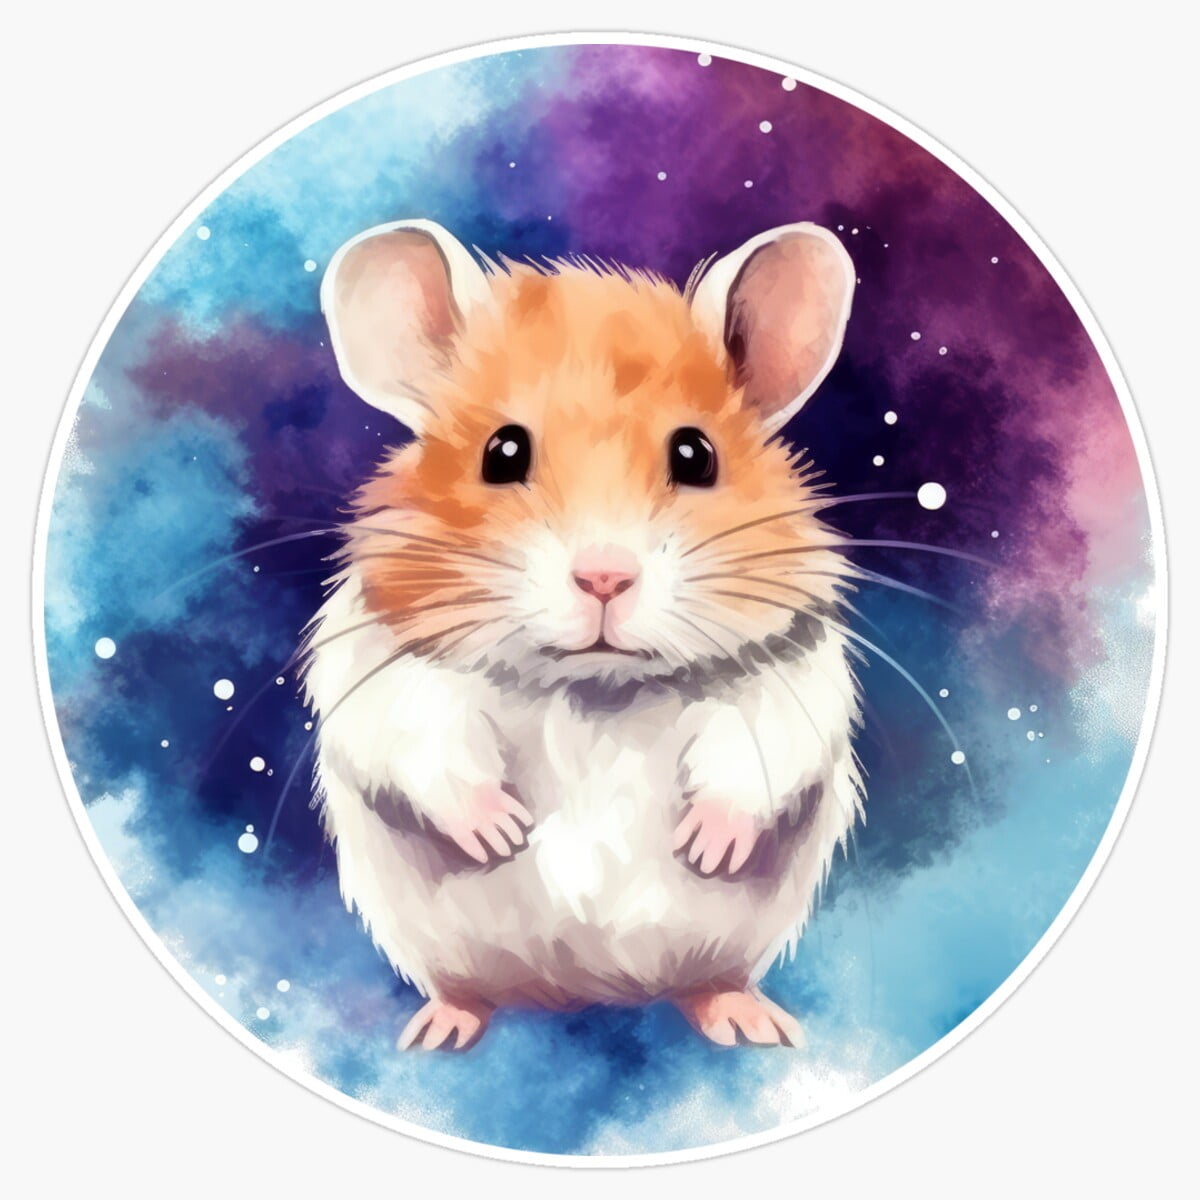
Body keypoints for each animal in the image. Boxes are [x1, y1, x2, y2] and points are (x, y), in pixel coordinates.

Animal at [302, 218, 864, 1051]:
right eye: (502, 452)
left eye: (696, 454)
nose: (604, 577)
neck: (595, 687)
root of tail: (586, 995)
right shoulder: (387, 667)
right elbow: (426, 745)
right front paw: (502, 834)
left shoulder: (788, 666)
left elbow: (753, 751)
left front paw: (705, 846)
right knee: (467, 988)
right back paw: (437, 1032)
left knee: (711, 981)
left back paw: (753, 1023)